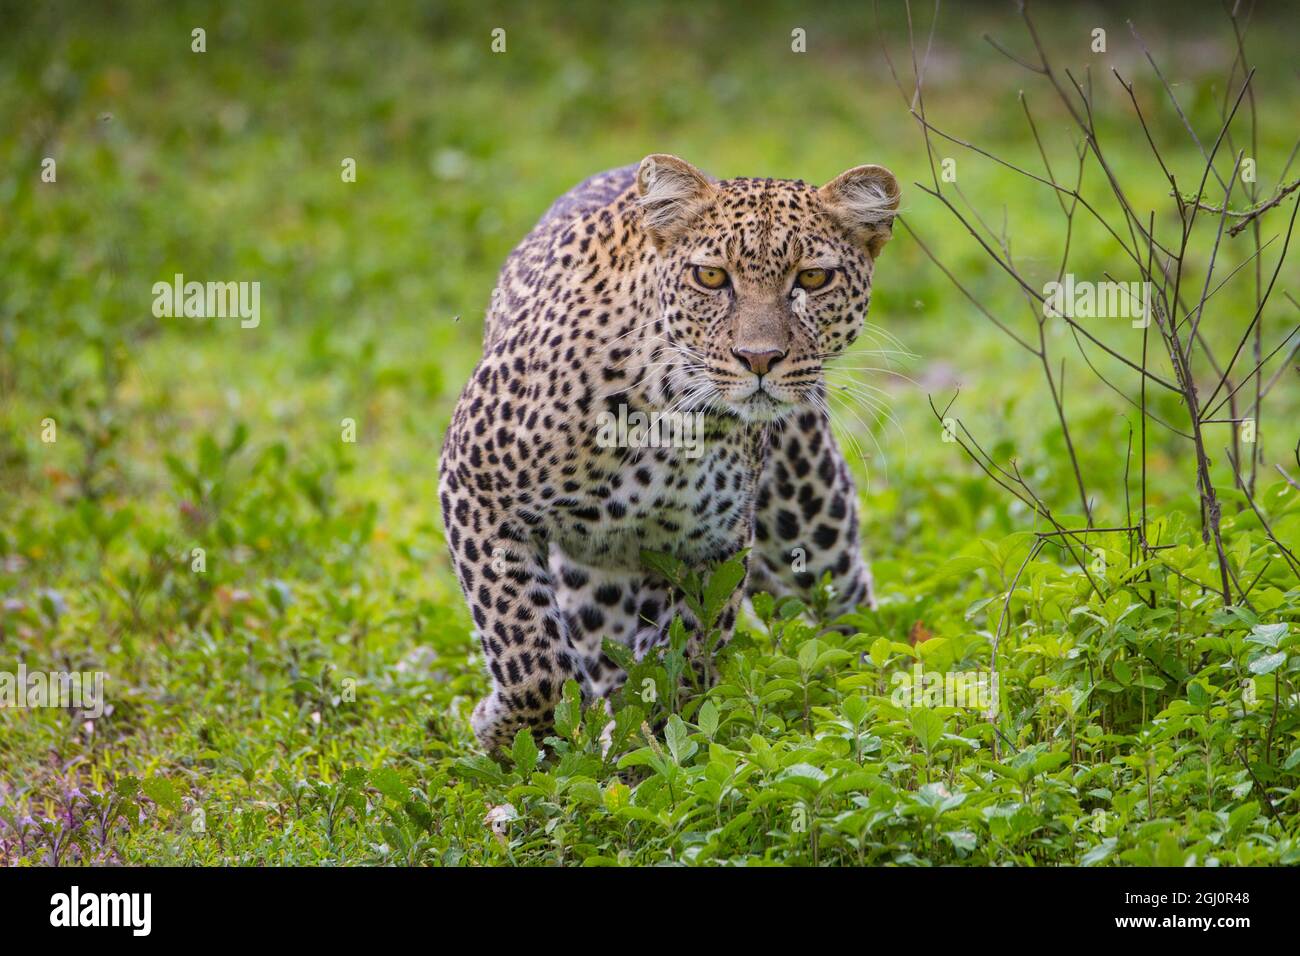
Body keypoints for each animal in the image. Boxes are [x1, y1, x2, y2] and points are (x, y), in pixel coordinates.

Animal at [438, 153, 901, 752]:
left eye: (813, 278)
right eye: (711, 276)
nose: (759, 358)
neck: (672, 416)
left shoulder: (706, 550)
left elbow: (677, 665)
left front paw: (646, 749)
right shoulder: (476, 487)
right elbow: (528, 651)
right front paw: (506, 729)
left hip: (810, 519)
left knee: (846, 603)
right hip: (593, 577)